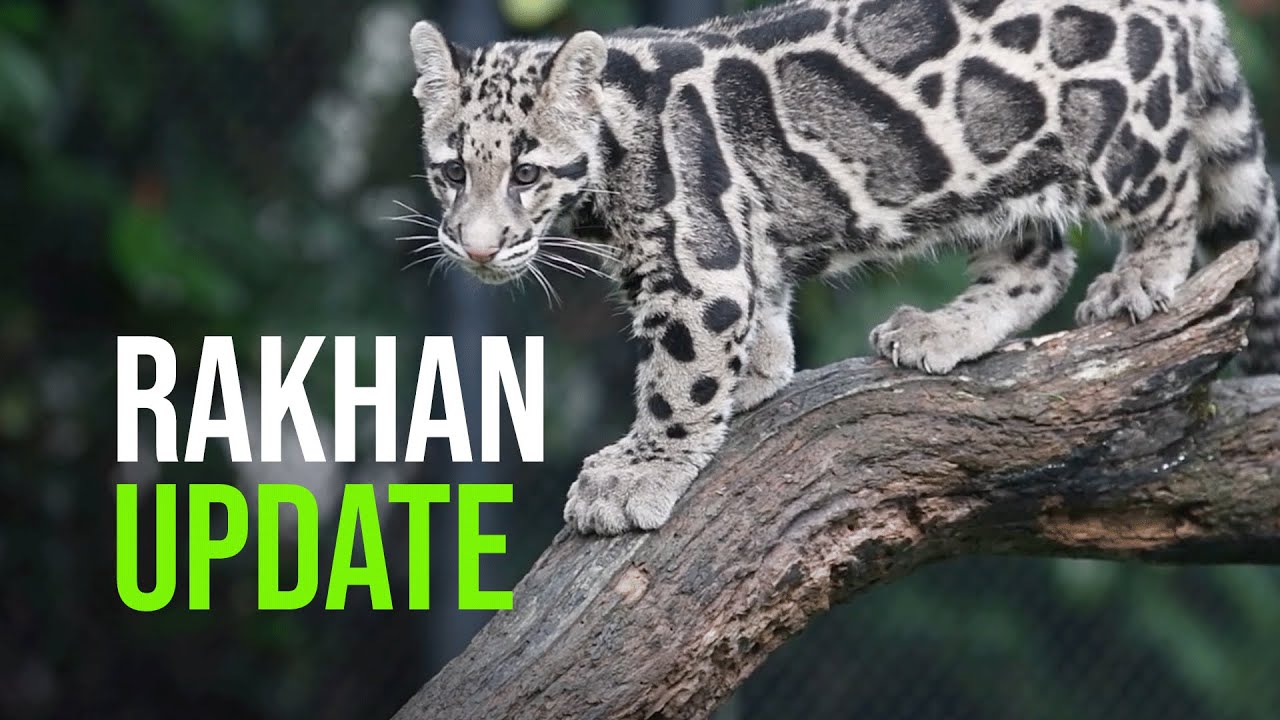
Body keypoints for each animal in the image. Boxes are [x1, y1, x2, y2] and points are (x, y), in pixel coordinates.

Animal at [407, 0, 1280, 536]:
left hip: (1117, 138)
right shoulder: (735, 250)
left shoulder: (698, 267)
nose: (475, 246)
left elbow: (679, 378)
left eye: (526, 173)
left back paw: (1140, 279)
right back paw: (943, 330)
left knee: (1172, 193)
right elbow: (756, 317)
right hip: (993, 174)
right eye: (451, 171)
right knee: (1038, 258)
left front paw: (638, 473)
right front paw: (759, 377)